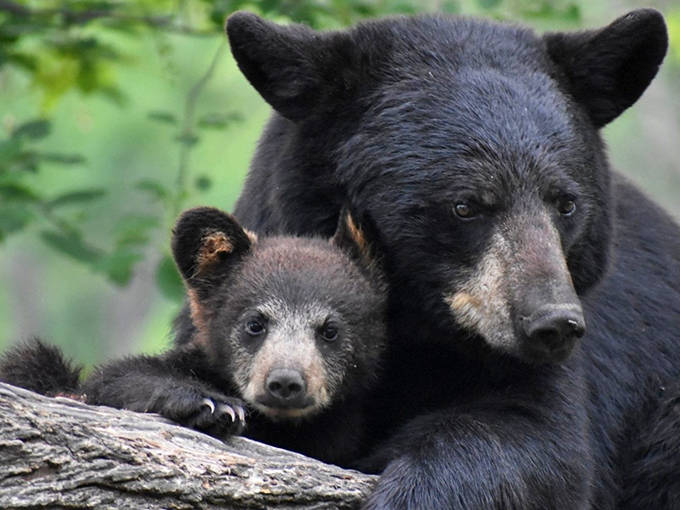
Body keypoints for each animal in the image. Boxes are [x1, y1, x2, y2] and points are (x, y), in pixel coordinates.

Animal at [0, 206, 387, 467]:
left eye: (330, 330)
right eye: (255, 324)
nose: (285, 382)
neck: (283, 428)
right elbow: (112, 379)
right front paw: (211, 404)